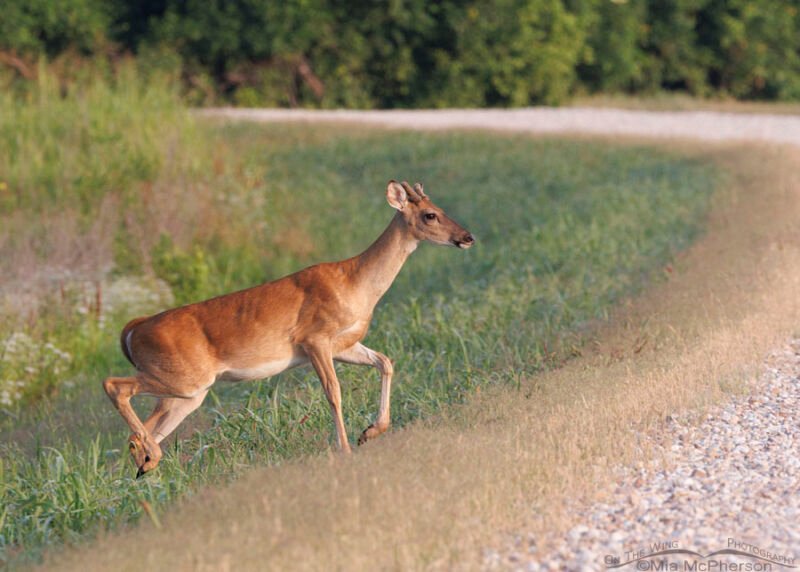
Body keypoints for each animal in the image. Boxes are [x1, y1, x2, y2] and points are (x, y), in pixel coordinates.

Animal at [103, 181, 475, 477]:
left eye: (440, 208)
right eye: (430, 215)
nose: (467, 237)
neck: (356, 284)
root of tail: (133, 329)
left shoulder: (344, 344)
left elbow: (385, 361)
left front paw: (370, 431)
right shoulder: (314, 338)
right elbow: (334, 392)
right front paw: (345, 448)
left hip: (188, 392)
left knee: (141, 429)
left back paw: (146, 464)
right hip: (181, 377)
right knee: (114, 386)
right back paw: (149, 458)